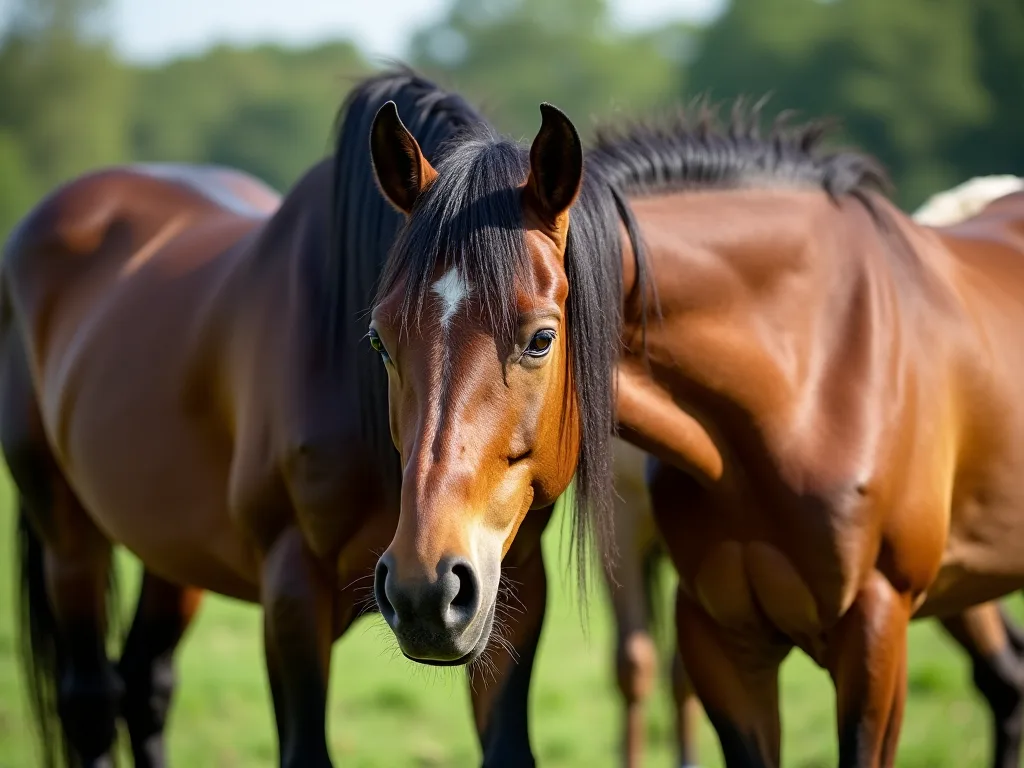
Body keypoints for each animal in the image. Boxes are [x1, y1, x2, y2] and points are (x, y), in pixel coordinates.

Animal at [0, 69, 563, 768]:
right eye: (378, 340)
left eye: (541, 339)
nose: (425, 588)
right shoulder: (292, 588)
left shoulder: (513, 587)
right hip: (67, 534)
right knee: (90, 699)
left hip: (171, 553)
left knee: (145, 683)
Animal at [363, 89, 1024, 767]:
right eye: (380, 341)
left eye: (541, 339)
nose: (424, 590)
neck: (806, 380)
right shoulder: (721, 641)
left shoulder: (876, 630)